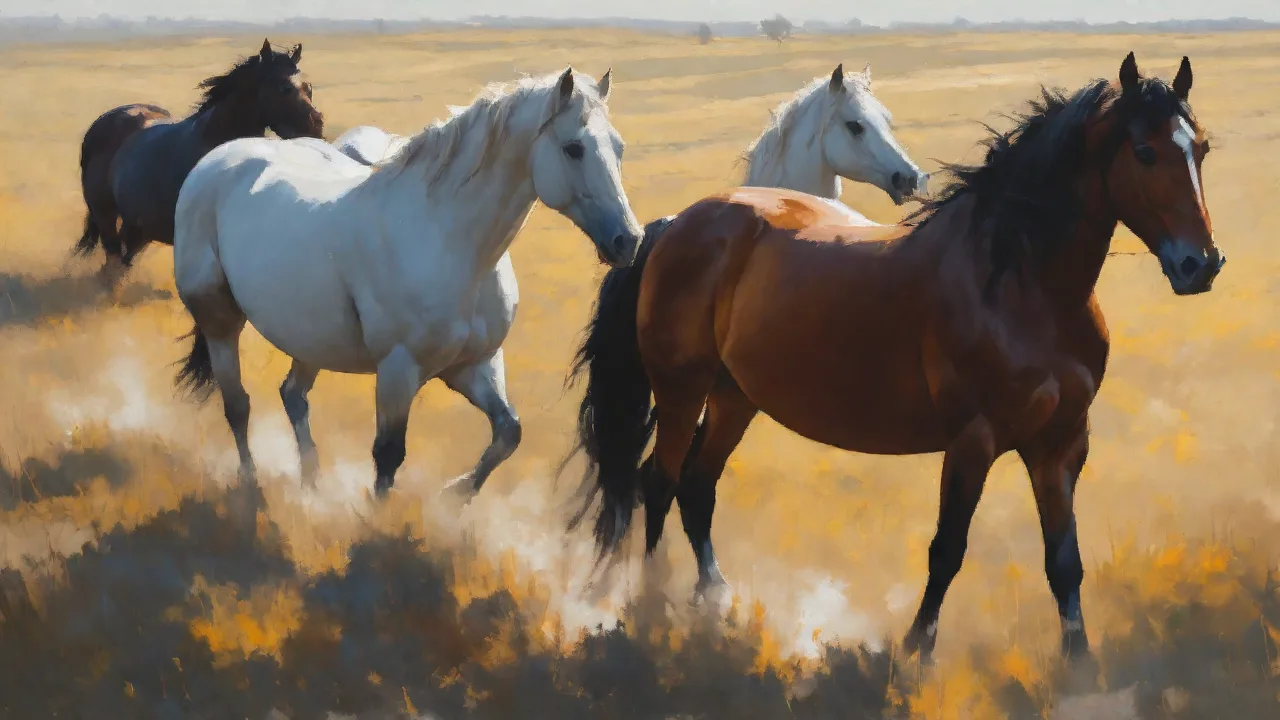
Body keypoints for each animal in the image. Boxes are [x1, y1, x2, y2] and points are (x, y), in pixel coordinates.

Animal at [171, 67, 643, 500]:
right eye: (574, 148)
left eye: (619, 147)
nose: (629, 241)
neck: (448, 240)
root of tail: (215, 162)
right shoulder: (399, 370)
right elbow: (387, 456)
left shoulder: (475, 365)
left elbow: (509, 432)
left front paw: (454, 496)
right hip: (220, 322)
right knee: (238, 405)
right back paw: (252, 487)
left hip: (310, 338)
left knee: (293, 396)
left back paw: (312, 486)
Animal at [563, 52, 1223, 663]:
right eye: (1144, 152)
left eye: (1202, 148)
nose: (1200, 265)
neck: (1020, 283)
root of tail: (675, 225)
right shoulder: (974, 440)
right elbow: (948, 550)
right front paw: (915, 655)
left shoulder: (1061, 444)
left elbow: (1064, 561)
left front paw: (1079, 666)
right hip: (682, 391)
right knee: (659, 483)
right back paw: (652, 609)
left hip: (734, 396)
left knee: (698, 487)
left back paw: (713, 604)